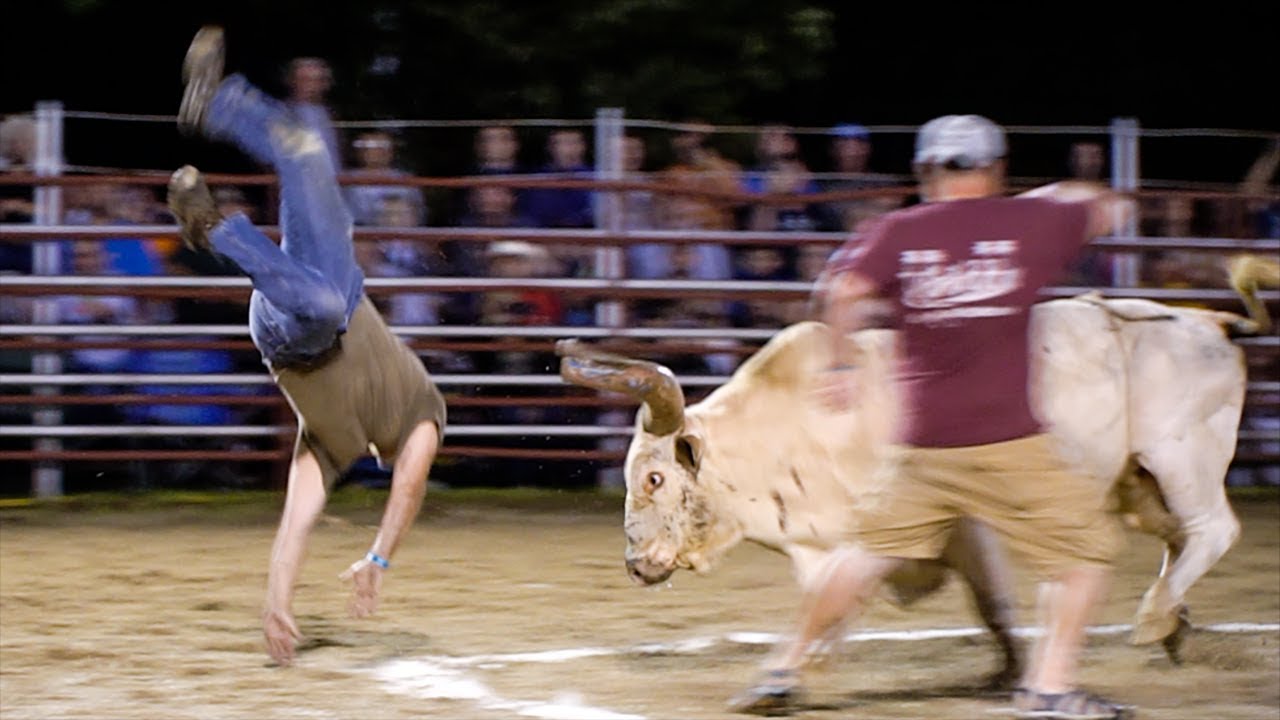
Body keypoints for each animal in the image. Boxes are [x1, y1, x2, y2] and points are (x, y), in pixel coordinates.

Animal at [557, 269, 1267, 684]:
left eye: (654, 479)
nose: (635, 563)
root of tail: (1207, 320)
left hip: (1181, 457)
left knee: (1213, 530)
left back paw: (1153, 618)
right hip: (1136, 484)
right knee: (1179, 539)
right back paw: (1172, 622)